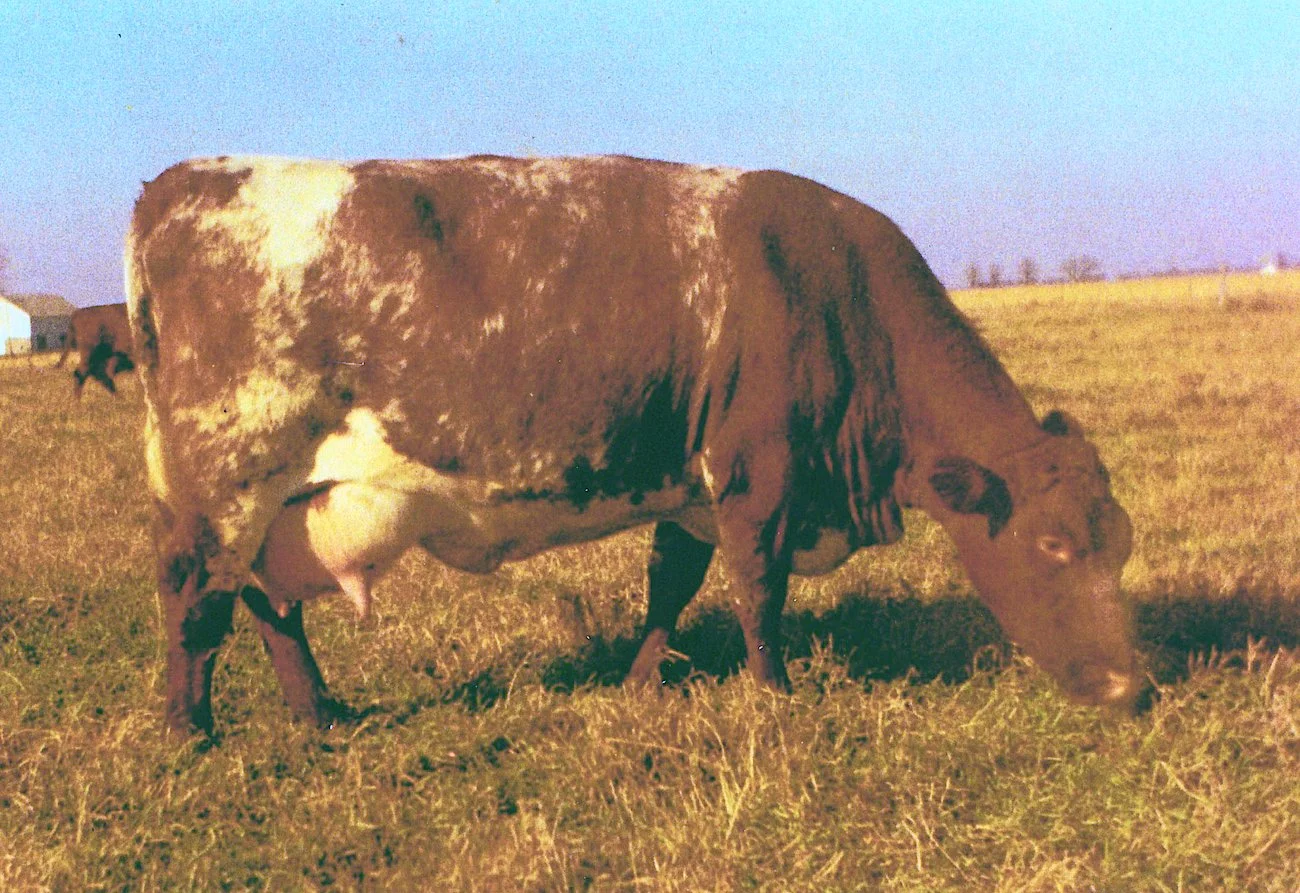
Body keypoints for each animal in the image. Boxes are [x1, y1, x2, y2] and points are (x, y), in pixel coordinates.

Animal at [125, 154, 1140, 736]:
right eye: (1053, 543)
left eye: (1121, 545)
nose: (1137, 690)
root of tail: (181, 181)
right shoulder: (758, 473)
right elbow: (758, 592)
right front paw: (776, 698)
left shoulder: (691, 487)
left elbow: (672, 586)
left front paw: (640, 683)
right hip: (227, 476)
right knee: (194, 595)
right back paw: (190, 730)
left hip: (275, 498)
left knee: (264, 601)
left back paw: (321, 715)